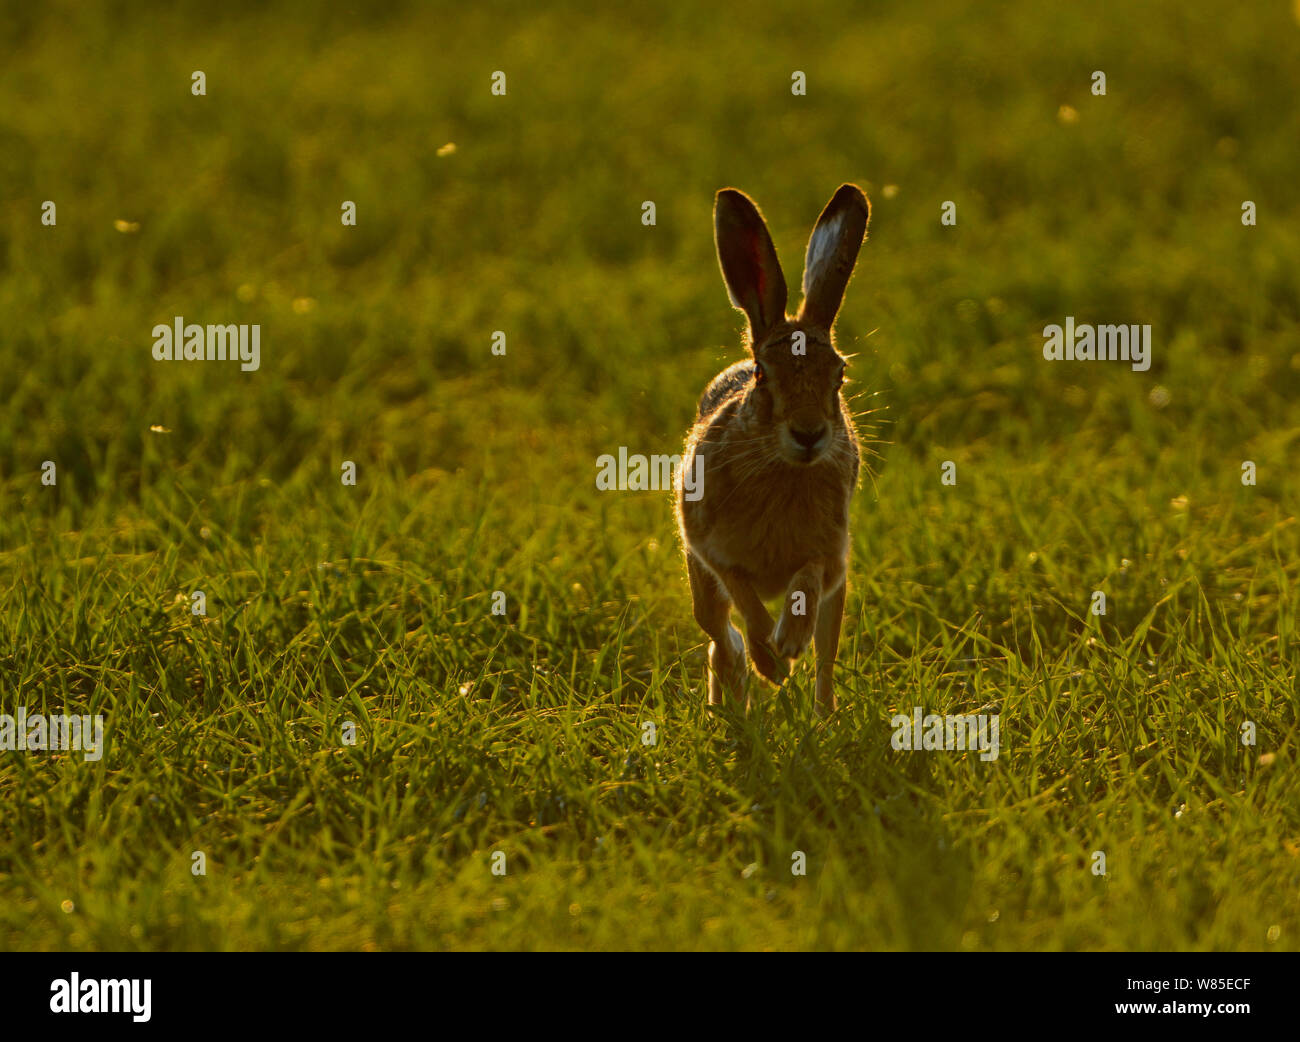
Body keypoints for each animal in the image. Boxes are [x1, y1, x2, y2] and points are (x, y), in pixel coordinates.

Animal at [675, 184, 870, 714]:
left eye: (840, 374)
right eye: (763, 374)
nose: (809, 434)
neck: (784, 468)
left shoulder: (831, 554)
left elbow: (807, 578)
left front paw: (789, 644)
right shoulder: (710, 548)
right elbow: (744, 596)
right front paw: (773, 662)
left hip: (837, 604)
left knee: (826, 661)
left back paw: (823, 715)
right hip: (701, 588)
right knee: (721, 636)